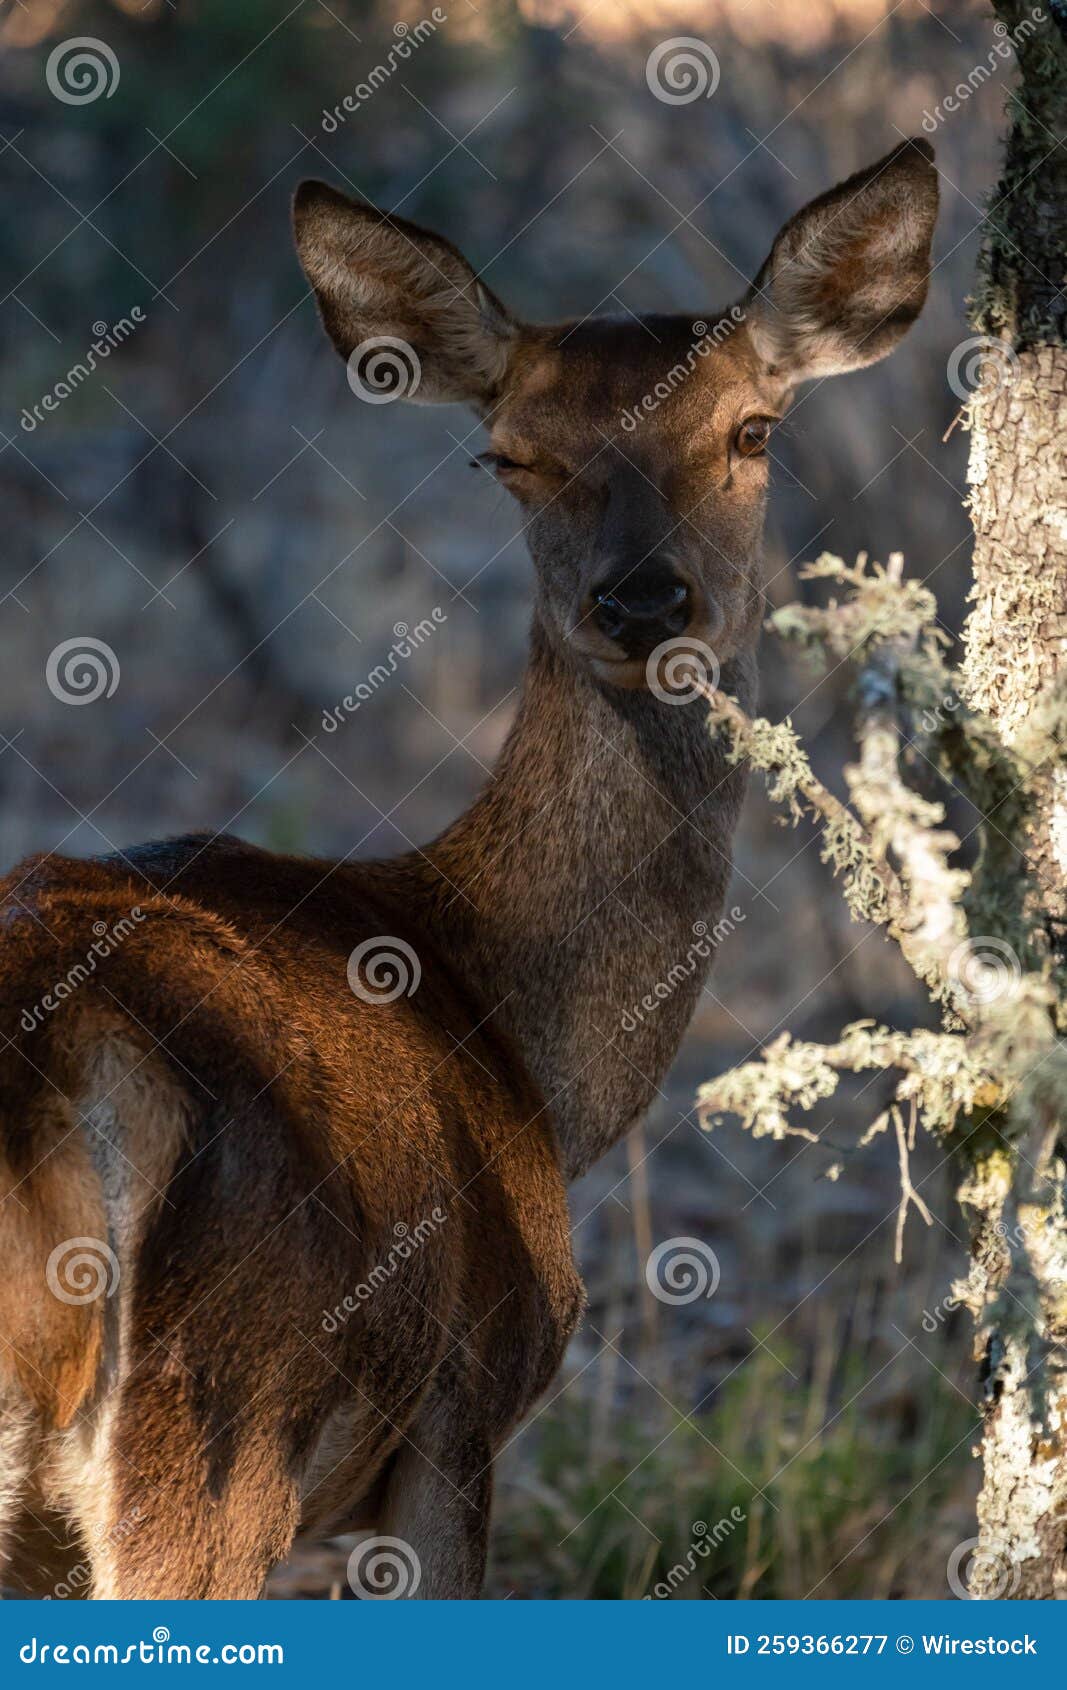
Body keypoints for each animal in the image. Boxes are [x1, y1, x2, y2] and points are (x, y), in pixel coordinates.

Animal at [0, 139, 937, 1600]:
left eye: (749, 431)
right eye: (511, 455)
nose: (640, 600)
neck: (529, 1045)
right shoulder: (462, 1411)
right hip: (210, 1436)